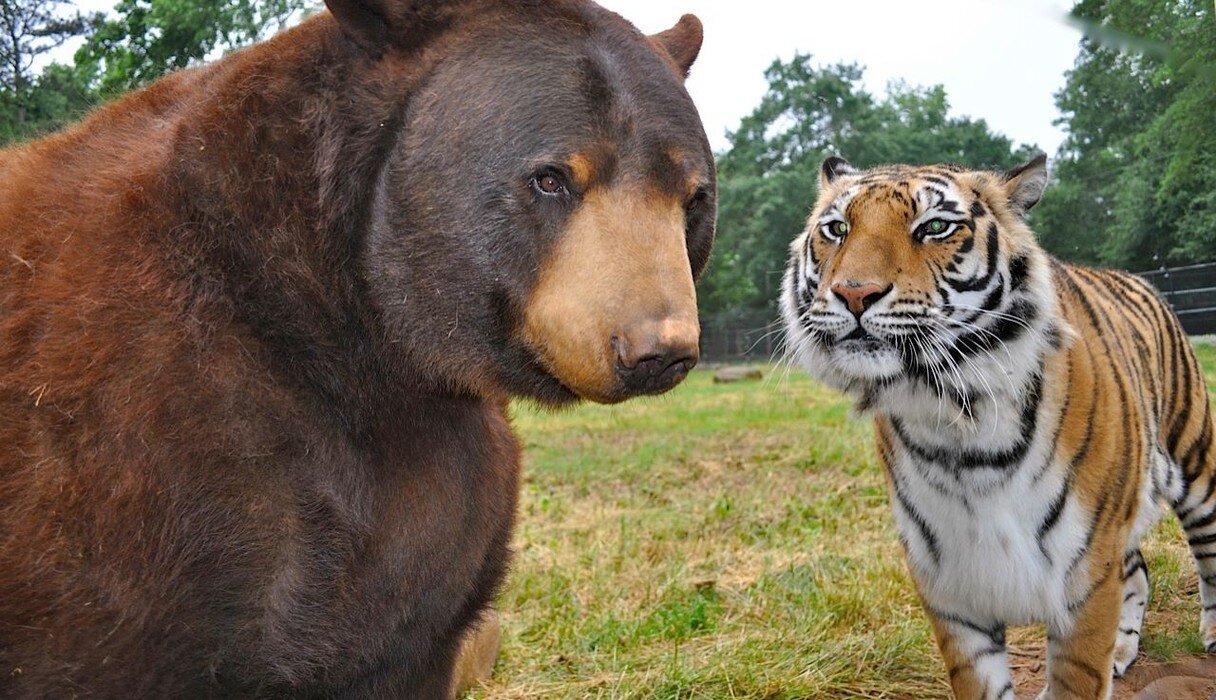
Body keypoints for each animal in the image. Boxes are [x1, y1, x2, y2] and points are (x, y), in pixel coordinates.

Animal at [780, 154, 1216, 699]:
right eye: (837, 229)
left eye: (935, 227)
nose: (853, 293)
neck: (958, 425)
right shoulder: (948, 581)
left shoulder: (1087, 573)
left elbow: (1076, 678)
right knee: (1137, 573)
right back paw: (1122, 650)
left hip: (1194, 463)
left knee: (1208, 551)